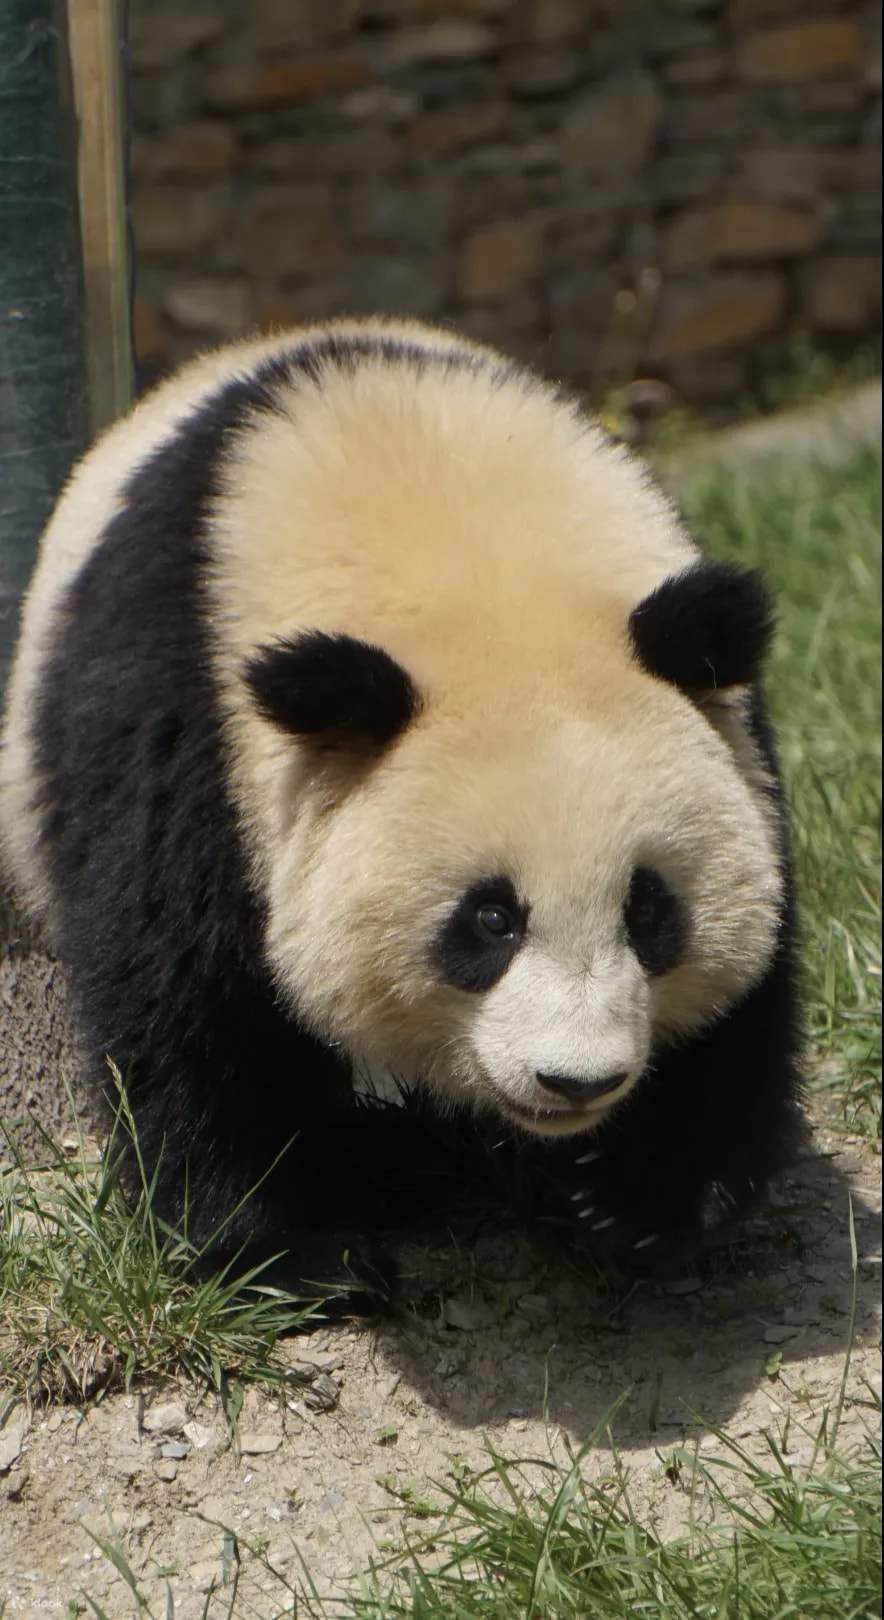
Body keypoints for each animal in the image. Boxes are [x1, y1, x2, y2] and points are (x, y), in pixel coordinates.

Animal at [0, 317, 803, 1302]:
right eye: (489, 919)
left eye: (650, 908)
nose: (577, 1082)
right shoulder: (186, 723)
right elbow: (188, 992)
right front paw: (290, 1252)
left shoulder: (729, 725)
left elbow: (749, 984)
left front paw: (642, 1203)